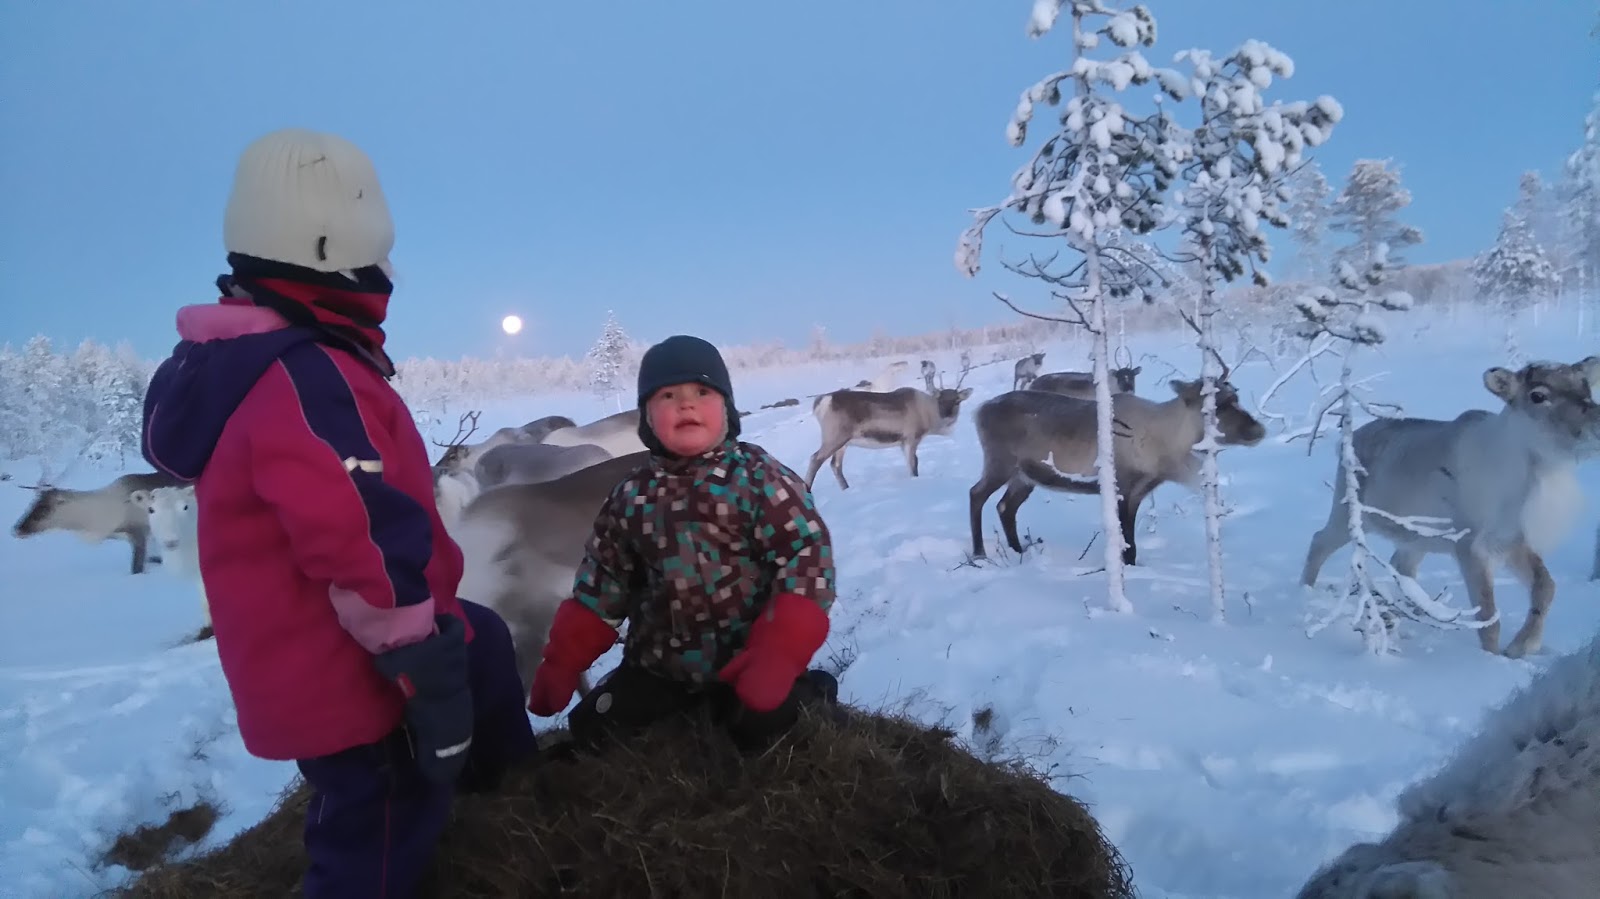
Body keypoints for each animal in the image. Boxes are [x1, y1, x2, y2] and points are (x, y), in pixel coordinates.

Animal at [804, 361, 977, 491]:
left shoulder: (902, 442)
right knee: (815, 459)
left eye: (957, 401)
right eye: (940, 400)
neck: (928, 414)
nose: (947, 415)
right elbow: (914, 464)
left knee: (835, 465)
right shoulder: (911, 437)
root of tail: (820, 403)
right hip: (834, 437)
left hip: (843, 443)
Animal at [968, 367, 1266, 565]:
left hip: (1025, 476)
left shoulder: (1139, 491)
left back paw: (1019, 551)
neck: (1167, 442)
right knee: (977, 495)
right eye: (1216, 406)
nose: (1258, 429)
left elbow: (1131, 543)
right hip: (999, 463)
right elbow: (1127, 539)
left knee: (1005, 507)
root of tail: (979, 409)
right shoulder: (1123, 487)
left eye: (1235, 396)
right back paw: (979, 553)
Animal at [1299, 357, 1600, 659]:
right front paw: (1492, 657)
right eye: (1538, 395)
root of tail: (1346, 442)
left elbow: (1545, 586)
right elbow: (1488, 617)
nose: (1596, 426)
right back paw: (1306, 590)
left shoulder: (1510, 540)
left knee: (1402, 566)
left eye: (1586, 387)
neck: (1527, 475)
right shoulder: (1469, 545)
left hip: (1416, 538)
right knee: (1319, 541)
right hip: (1349, 513)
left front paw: (1522, 645)